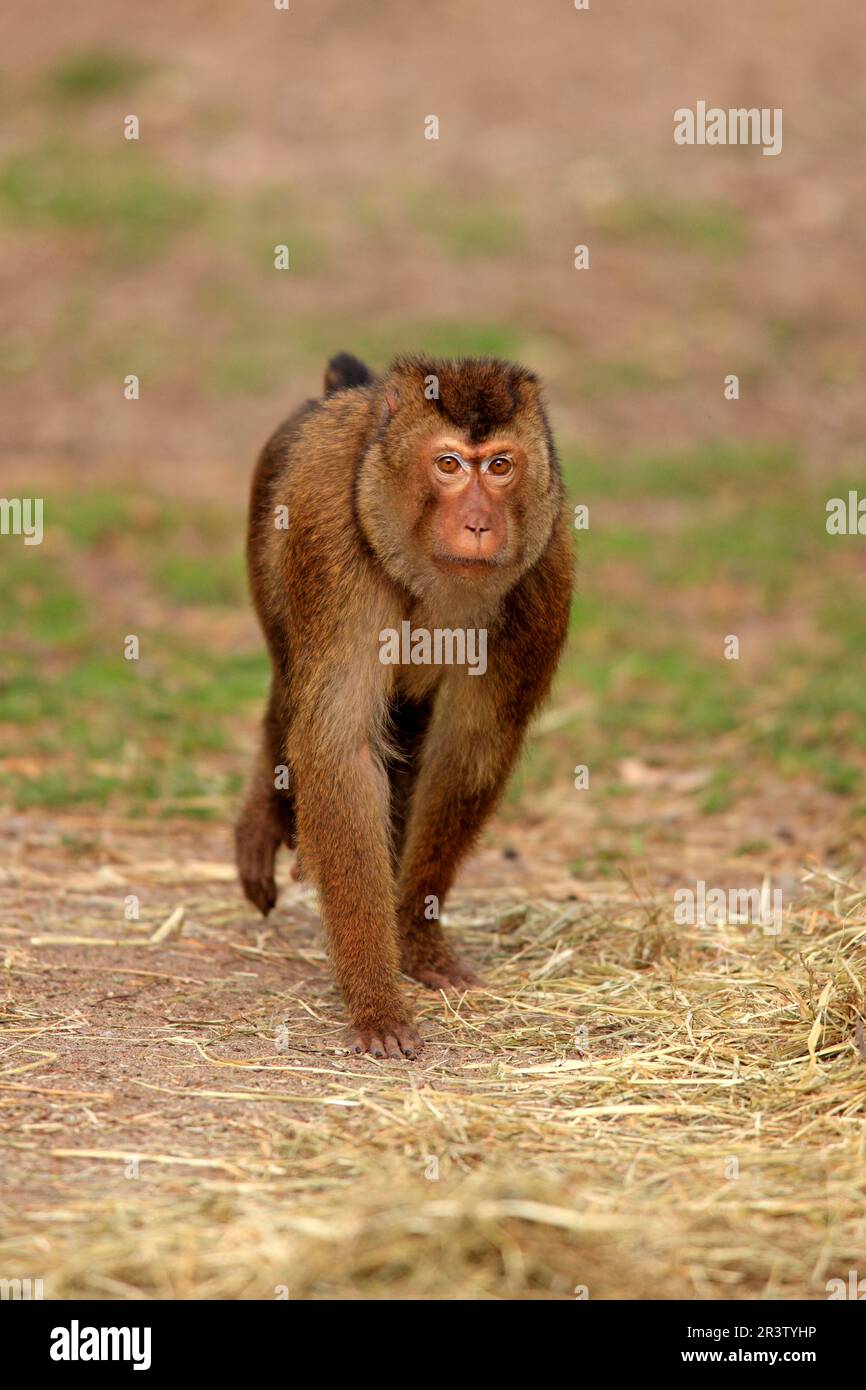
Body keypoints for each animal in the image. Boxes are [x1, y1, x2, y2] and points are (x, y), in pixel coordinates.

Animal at [235, 352, 573, 1058]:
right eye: (448, 464)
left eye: (500, 466)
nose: (479, 524)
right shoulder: (331, 542)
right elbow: (341, 747)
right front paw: (376, 998)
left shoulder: (544, 563)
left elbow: (471, 746)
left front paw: (415, 936)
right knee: (290, 684)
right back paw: (266, 815)